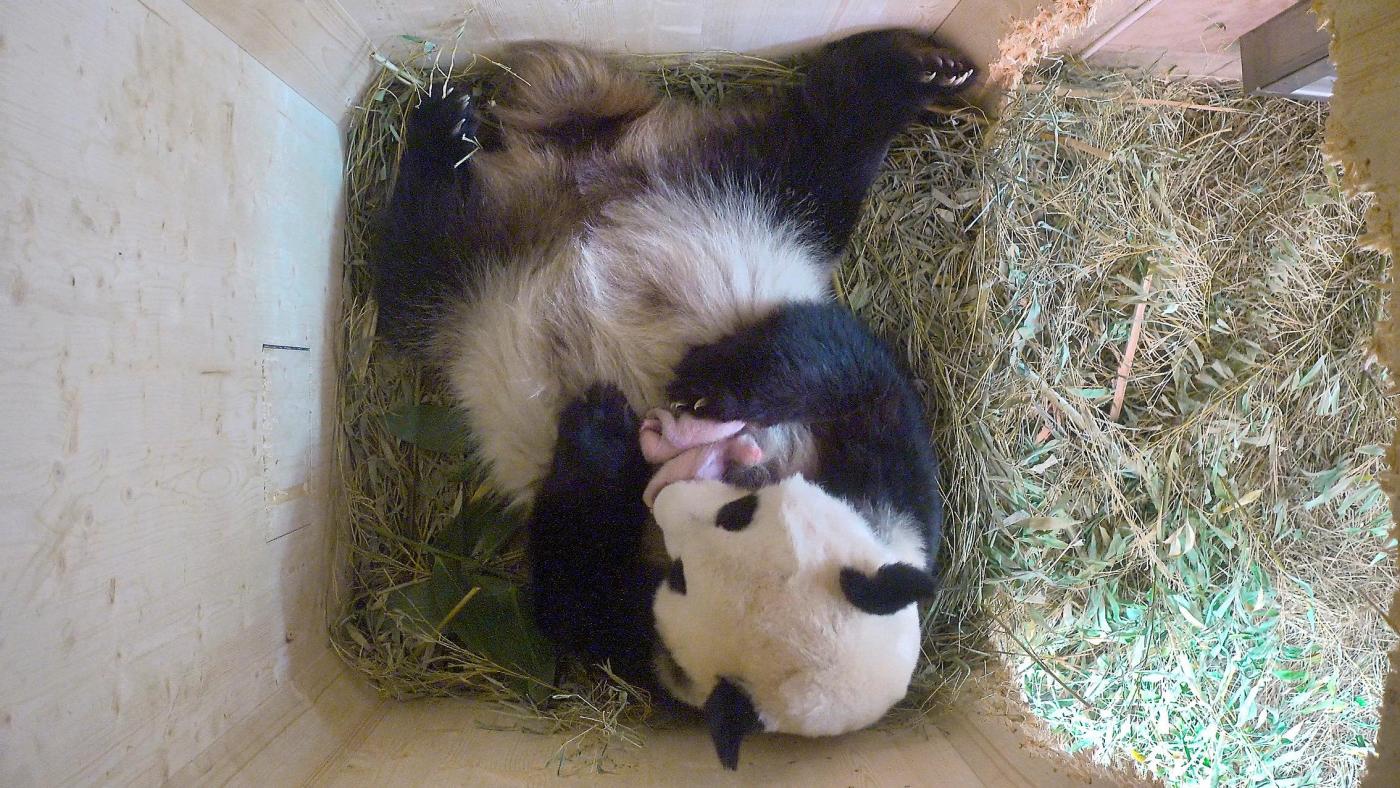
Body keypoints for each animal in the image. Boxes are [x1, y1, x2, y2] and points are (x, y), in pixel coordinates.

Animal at [370, 29, 974, 768]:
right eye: (741, 512)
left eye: (689, 570)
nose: (667, 493)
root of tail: (587, 172)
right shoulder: (890, 489)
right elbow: (854, 371)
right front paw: (713, 382)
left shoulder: (646, 646)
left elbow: (570, 592)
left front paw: (601, 436)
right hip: (742, 193)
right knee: (827, 139)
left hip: (492, 268)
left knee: (416, 258)